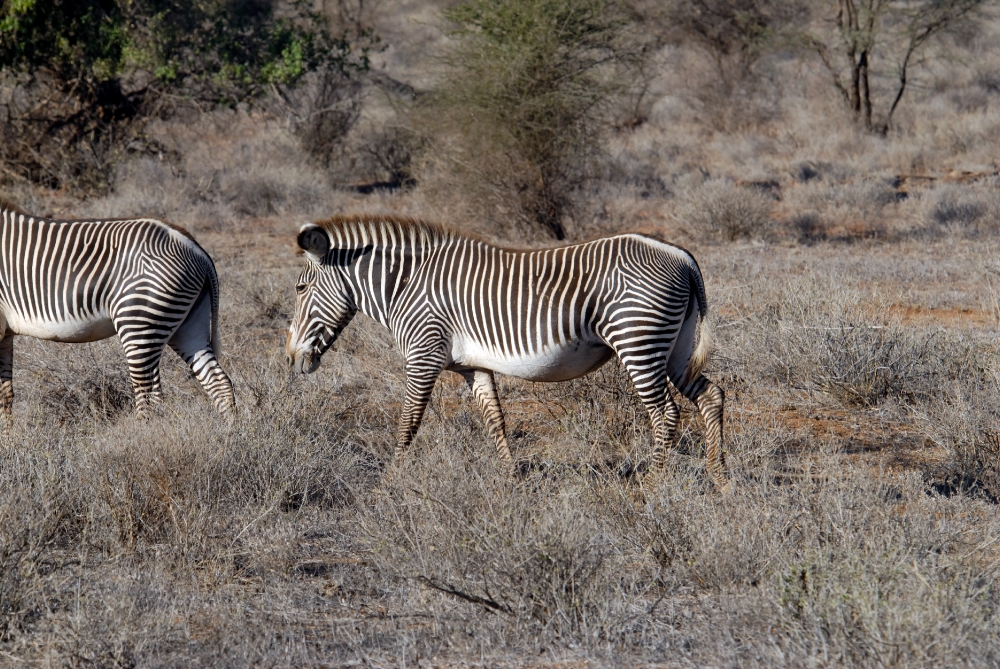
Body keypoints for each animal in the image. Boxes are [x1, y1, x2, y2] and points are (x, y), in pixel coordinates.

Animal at [0, 200, 235, 420]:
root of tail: (195, 248)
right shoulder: (5, 334)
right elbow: (5, 395)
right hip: (188, 324)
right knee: (218, 382)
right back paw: (230, 432)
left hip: (140, 321)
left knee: (149, 396)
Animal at [286, 215, 727, 489]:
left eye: (300, 288)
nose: (290, 359)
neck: (404, 287)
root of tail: (681, 257)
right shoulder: (473, 366)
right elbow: (494, 420)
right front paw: (511, 479)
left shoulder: (423, 355)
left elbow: (408, 422)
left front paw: (387, 484)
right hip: (675, 346)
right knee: (711, 396)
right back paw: (720, 478)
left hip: (639, 341)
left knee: (666, 413)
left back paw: (651, 485)